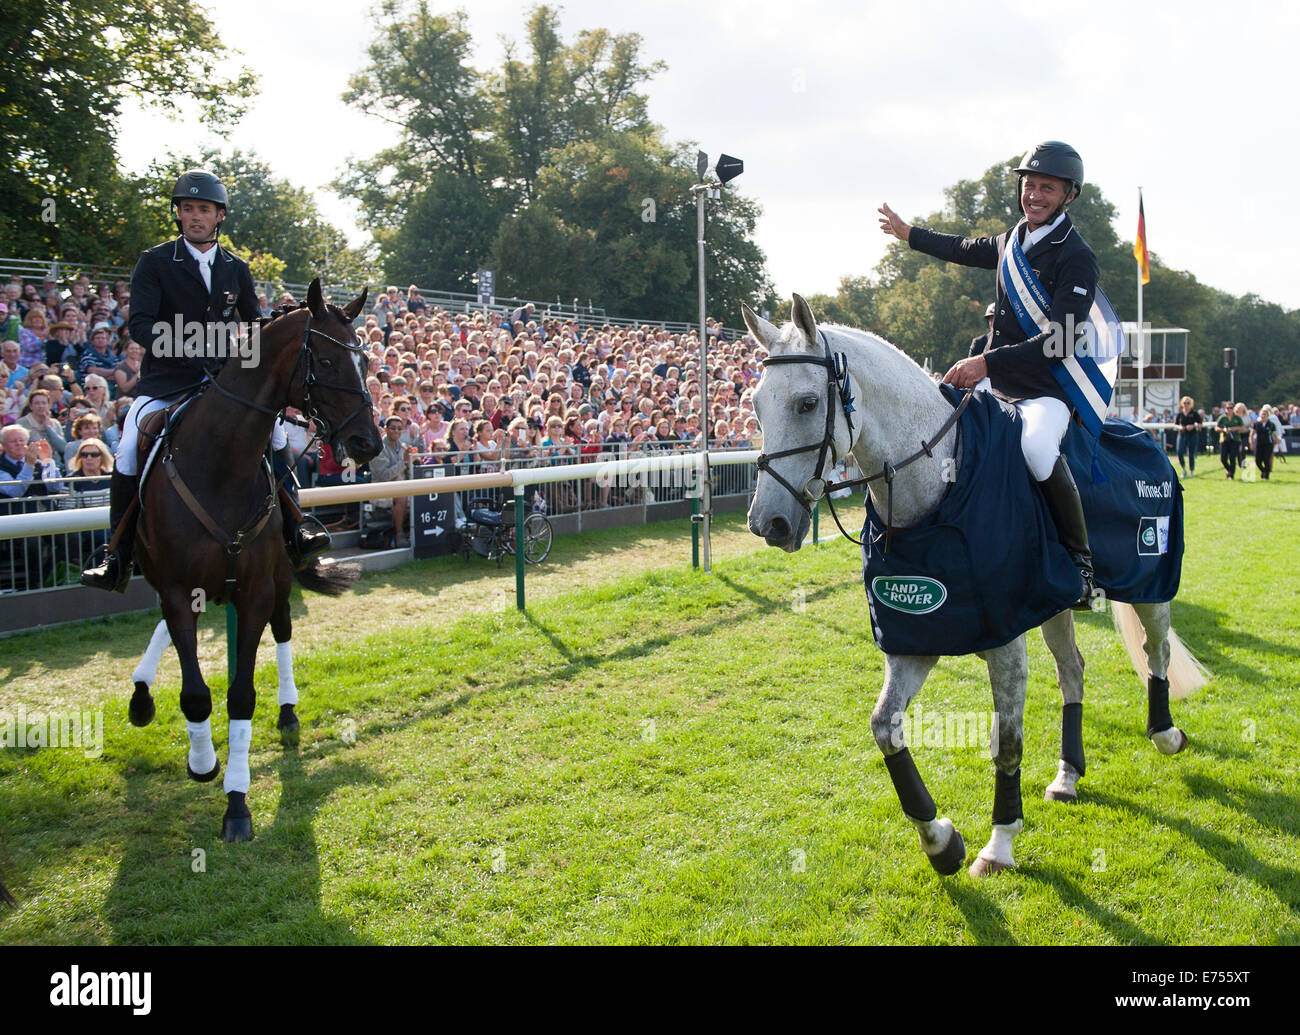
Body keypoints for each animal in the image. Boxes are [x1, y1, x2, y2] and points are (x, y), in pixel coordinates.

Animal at [131, 279, 381, 842]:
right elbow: (196, 693)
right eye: (327, 361)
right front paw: (203, 763)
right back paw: (141, 696)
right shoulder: (177, 590)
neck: (221, 464)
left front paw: (237, 804)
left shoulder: (255, 590)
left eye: (364, 361)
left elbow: (240, 695)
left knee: (283, 628)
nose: (368, 443)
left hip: (279, 577)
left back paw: (287, 713)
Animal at [743, 296, 1206, 877]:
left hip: (1150, 587)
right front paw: (940, 841)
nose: (769, 524)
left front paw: (999, 843)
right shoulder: (917, 637)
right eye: (756, 404)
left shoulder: (1005, 642)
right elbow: (885, 727)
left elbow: (1006, 745)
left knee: (1155, 651)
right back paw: (1067, 775)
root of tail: (1143, 431)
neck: (939, 484)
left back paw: (1166, 733)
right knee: (1073, 671)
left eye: (807, 403)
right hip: (1056, 606)